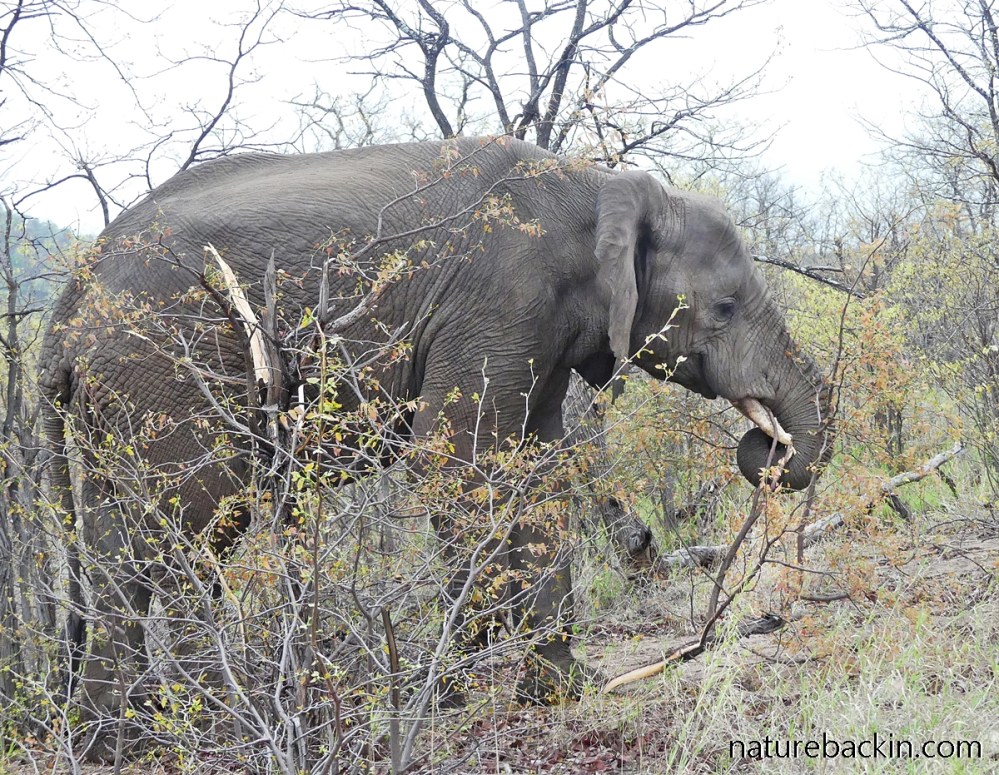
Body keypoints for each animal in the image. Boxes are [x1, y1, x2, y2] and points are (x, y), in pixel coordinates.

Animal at [40, 136, 832, 758]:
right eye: (723, 308)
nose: (764, 446)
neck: (599, 186)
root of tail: (69, 301)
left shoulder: (538, 327)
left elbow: (535, 472)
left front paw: (560, 690)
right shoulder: (500, 297)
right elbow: (458, 463)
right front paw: (452, 700)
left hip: (124, 394)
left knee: (123, 549)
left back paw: (115, 744)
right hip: (168, 365)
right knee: (194, 528)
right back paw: (213, 732)